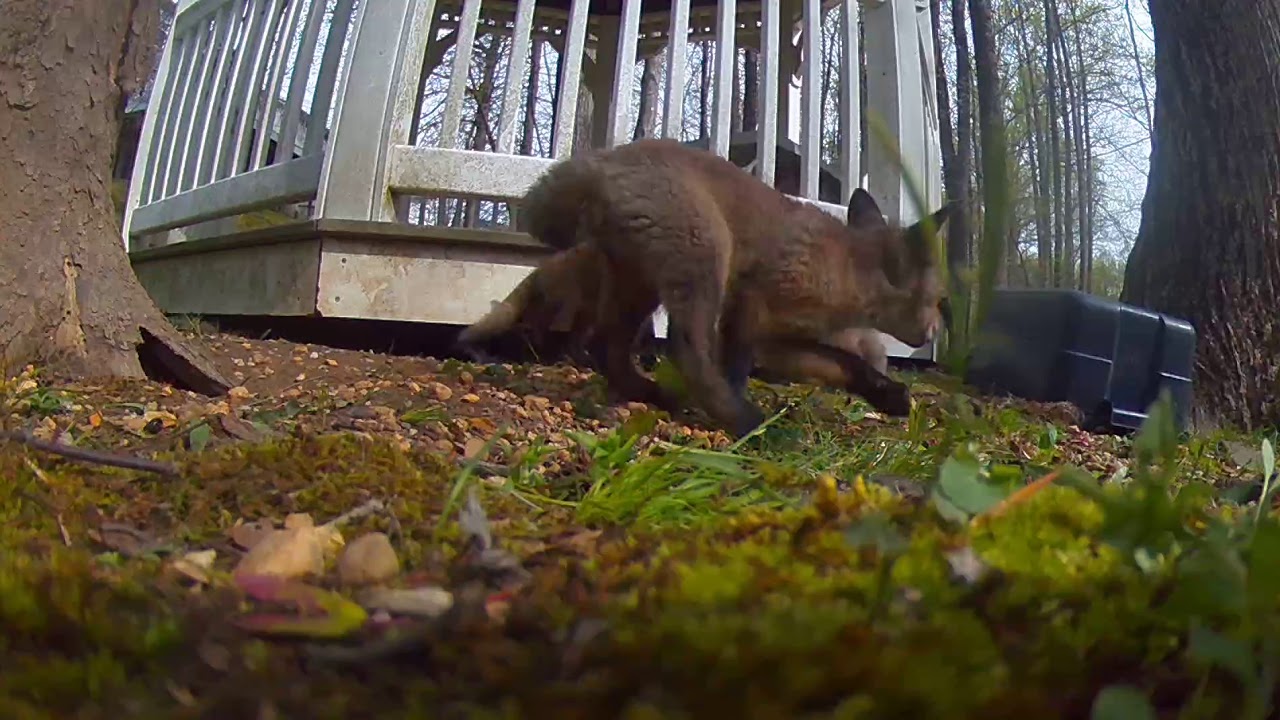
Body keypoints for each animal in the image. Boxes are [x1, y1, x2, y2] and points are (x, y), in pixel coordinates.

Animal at [511, 138, 953, 436]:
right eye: (937, 299)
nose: (935, 332)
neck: (843, 268)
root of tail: (602, 159)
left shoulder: (778, 339)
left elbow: (844, 363)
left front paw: (887, 394)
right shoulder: (750, 304)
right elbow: (737, 367)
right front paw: (742, 413)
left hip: (637, 285)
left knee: (609, 347)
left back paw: (650, 394)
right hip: (707, 259)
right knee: (685, 349)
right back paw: (742, 419)